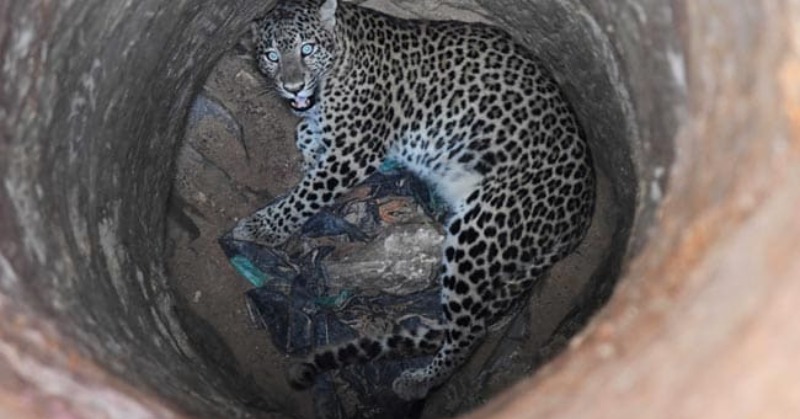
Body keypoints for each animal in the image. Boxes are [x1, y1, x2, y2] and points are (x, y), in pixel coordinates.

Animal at [231, 0, 596, 401]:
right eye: (271, 55)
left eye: (306, 49)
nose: (291, 85)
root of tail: (581, 215)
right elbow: (304, 135)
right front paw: (309, 150)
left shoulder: (355, 151)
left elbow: (306, 194)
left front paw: (261, 227)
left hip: (480, 229)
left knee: (468, 332)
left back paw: (418, 381)